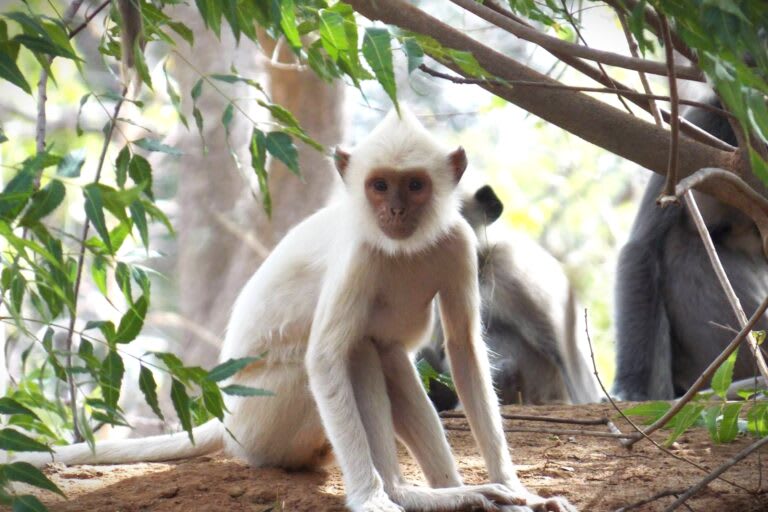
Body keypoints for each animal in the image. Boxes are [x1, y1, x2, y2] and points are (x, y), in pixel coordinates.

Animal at [10, 108, 576, 512]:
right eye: (380, 185)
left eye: (414, 185)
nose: (395, 210)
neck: (403, 248)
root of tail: (226, 421)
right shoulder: (359, 255)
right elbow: (326, 359)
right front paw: (372, 500)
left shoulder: (458, 244)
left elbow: (463, 349)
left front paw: (514, 487)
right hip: (265, 421)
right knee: (357, 352)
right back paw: (402, 493)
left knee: (385, 353)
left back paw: (455, 491)